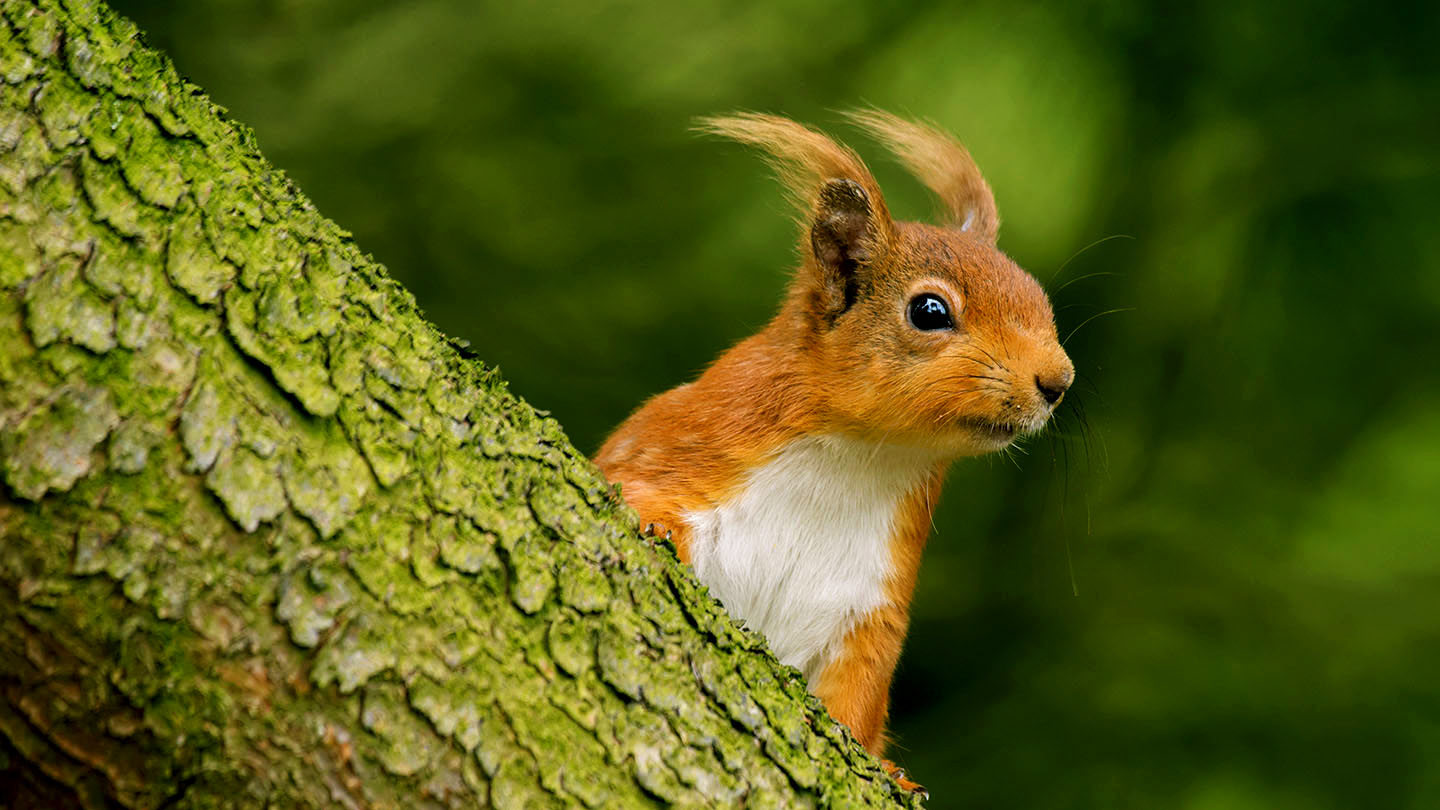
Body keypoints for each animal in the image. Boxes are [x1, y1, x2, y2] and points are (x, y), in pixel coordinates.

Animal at [596, 110, 1073, 788]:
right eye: (930, 310)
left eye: (1039, 296)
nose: (1058, 381)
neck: (858, 458)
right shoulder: (685, 443)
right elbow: (639, 489)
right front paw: (655, 525)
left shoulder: (870, 606)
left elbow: (856, 697)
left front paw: (889, 770)